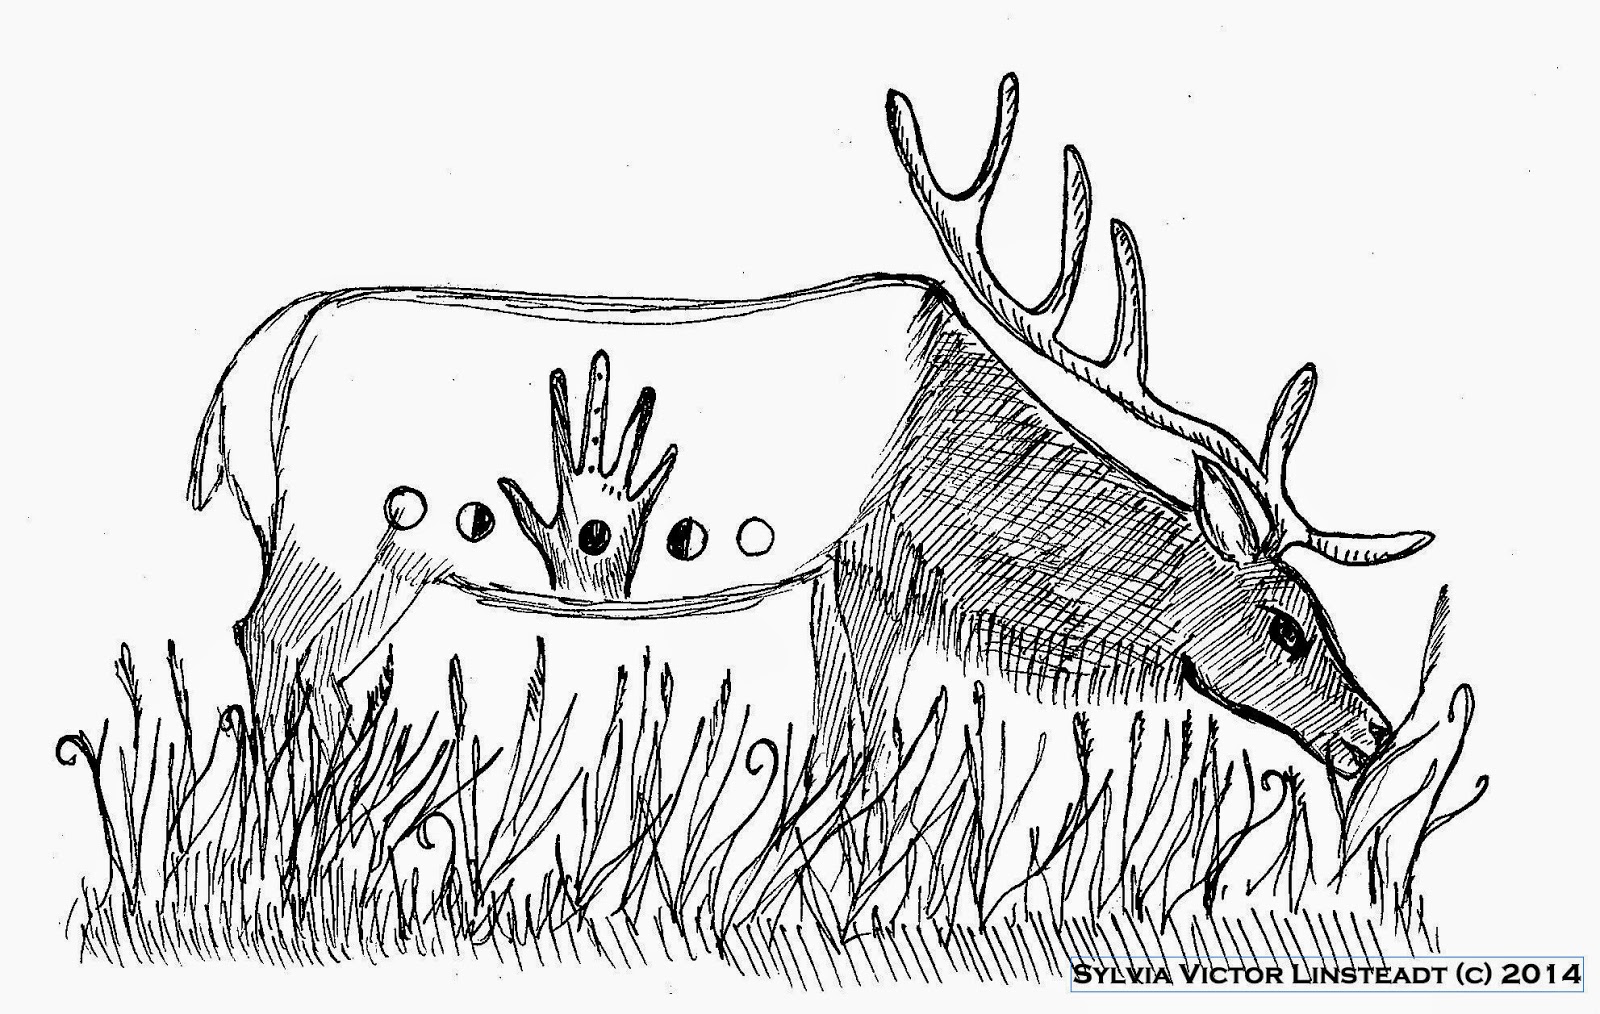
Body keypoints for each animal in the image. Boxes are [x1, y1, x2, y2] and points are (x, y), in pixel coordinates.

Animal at [187, 74, 1431, 777]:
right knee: (266, 643)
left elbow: (843, 740)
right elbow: (858, 744)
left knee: (311, 670)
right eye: (1286, 625)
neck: (970, 494)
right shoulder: (872, 568)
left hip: (374, 559)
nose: (1373, 736)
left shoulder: (842, 581)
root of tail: (242, 382)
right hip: (341, 533)